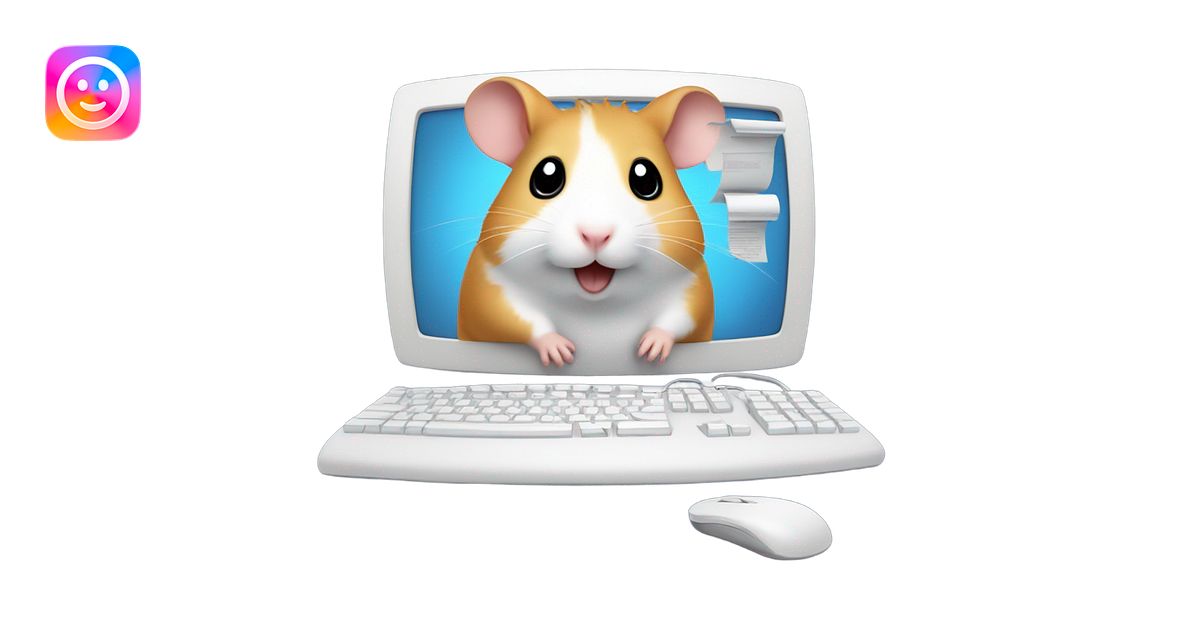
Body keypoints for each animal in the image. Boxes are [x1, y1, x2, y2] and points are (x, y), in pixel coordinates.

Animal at [457, 77, 723, 367]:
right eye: (546, 177)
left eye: (646, 179)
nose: (596, 234)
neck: (596, 309)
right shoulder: (487, 282)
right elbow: (506, 314)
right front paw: (560, 350)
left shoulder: (694, 281)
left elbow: (686, 313)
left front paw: (651, 347)